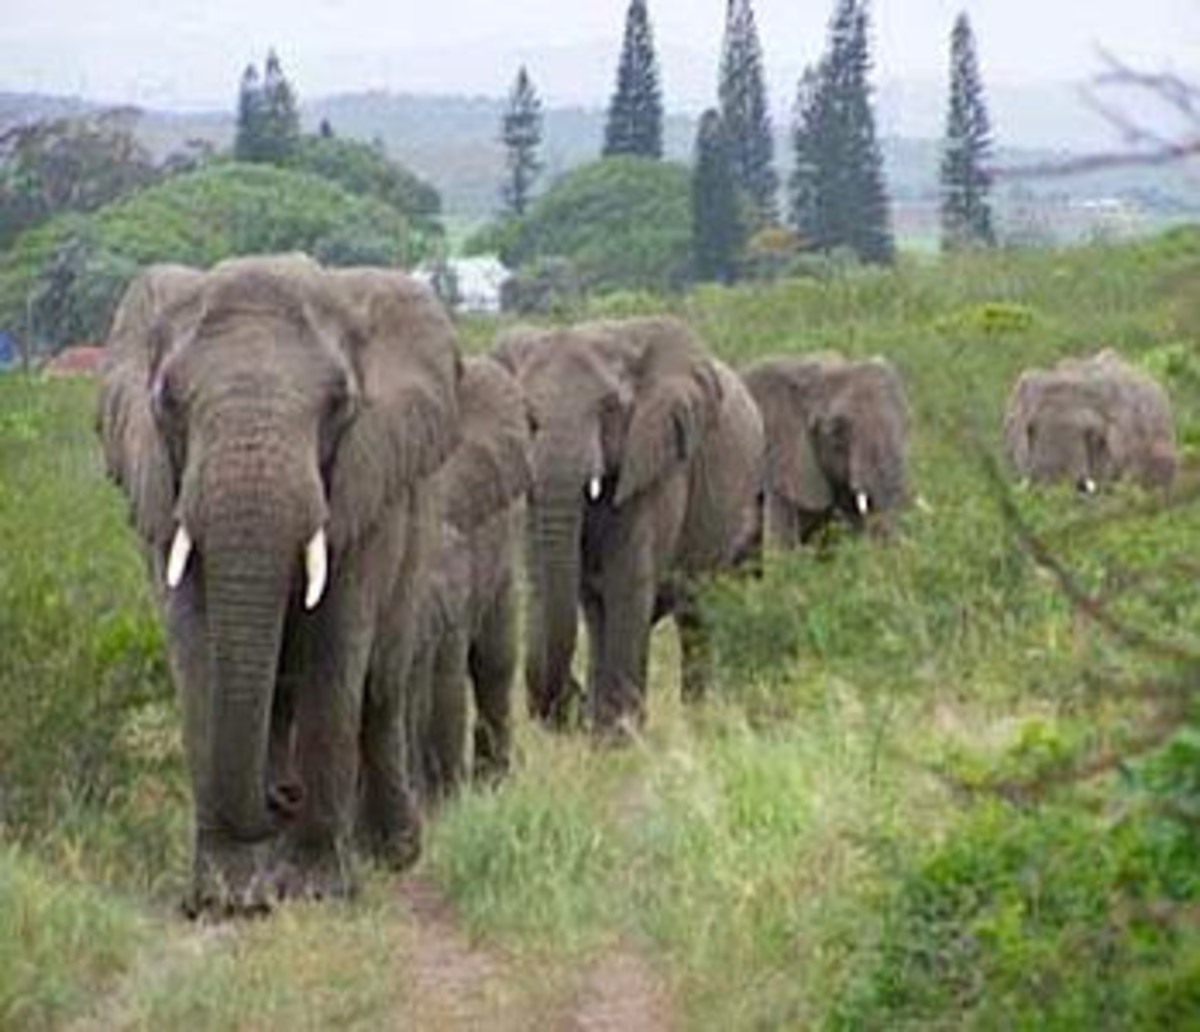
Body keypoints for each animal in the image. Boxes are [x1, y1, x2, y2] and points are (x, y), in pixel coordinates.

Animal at [99, 254, 461, 915]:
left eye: (340, 402)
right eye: (166, 400)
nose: (281, 798)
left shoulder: (362, 488)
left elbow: (337, 648)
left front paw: (316, 892)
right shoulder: (163, 492)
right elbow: (196, 651)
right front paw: (227, 898)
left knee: (380, 689)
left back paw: (391, 854)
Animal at [494, 317, 764, 736]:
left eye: (608, 407)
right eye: (527, 415)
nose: (574, 700)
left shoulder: (657, 458)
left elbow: (626, 580)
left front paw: (621, 738)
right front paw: (604, 734)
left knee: (696, 615)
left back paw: (695, 722)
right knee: (597, 611)